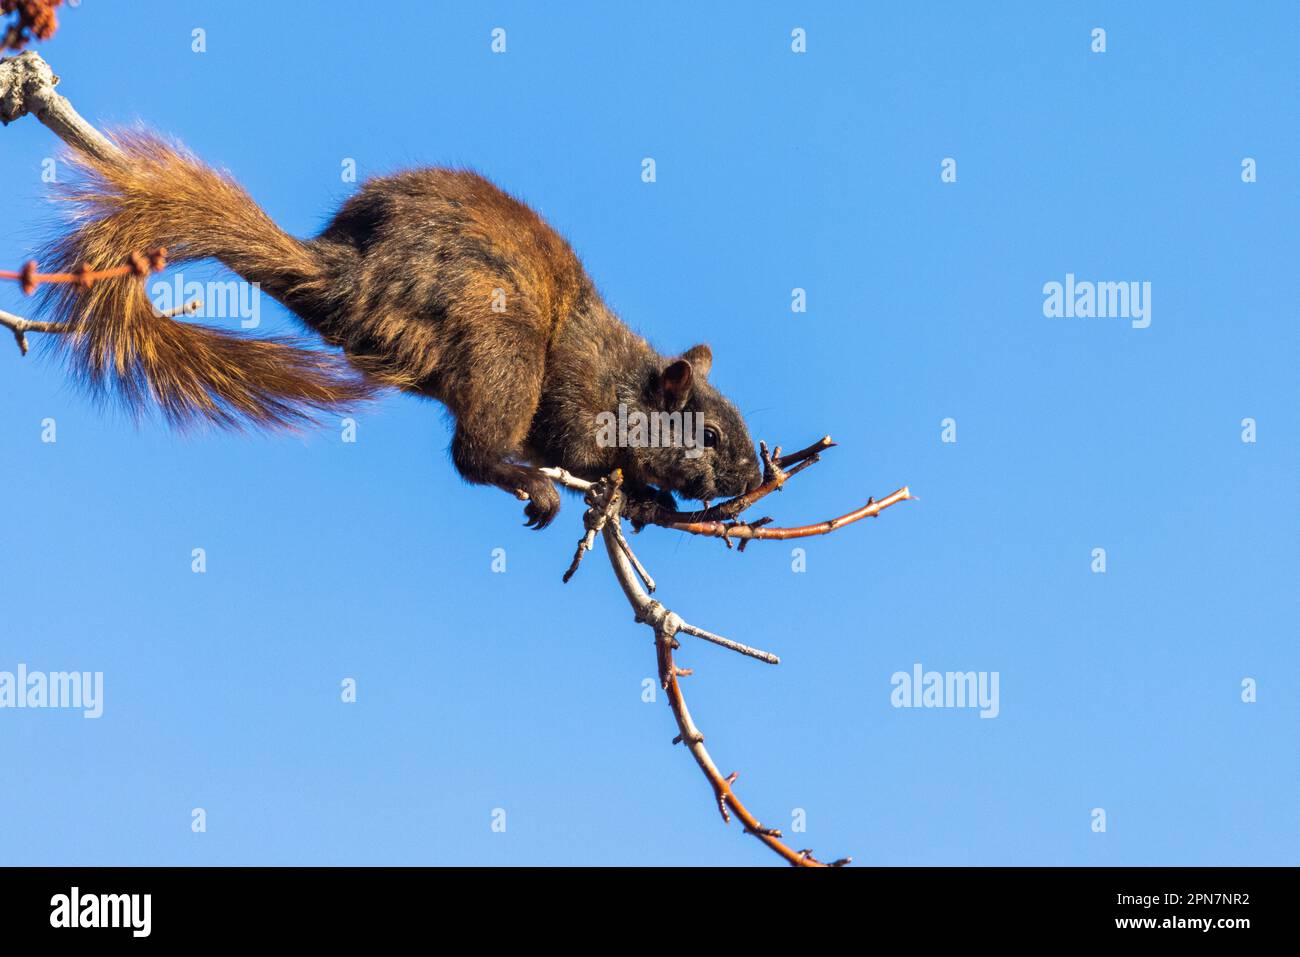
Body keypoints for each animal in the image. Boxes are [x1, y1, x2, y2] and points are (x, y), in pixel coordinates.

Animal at [35, 131, 764, 528]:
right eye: (708, 434)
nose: (753, 477)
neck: (626, 381)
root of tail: (352, 271)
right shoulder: (577, 396)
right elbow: (579, 448)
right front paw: (639, 490)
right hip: (505, 347)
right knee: (471, 455)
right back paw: (527, 481)